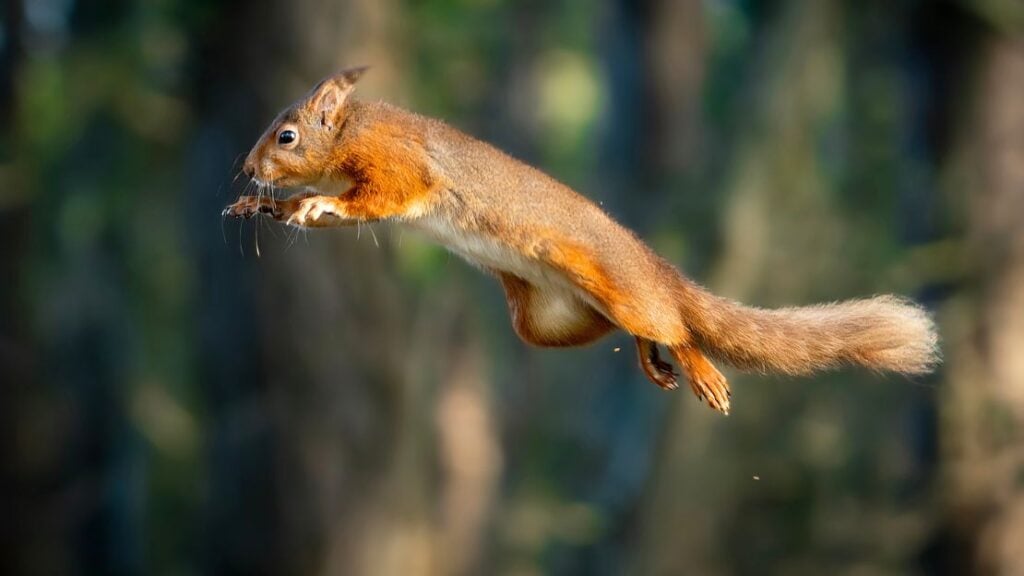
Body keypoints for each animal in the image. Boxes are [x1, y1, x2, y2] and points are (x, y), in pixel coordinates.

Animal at [224, 67, 939, 414]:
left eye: (286, 136)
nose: (246, 168)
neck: (352, 129)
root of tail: (655, 266)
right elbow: (336, 214)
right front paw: (265, 207)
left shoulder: (398, 163)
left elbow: (378, 197)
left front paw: (312, 199)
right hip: (547, 321)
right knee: (633, 329)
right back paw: (652, 363)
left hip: (617, 285)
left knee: (675, 325)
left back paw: (699, 370)